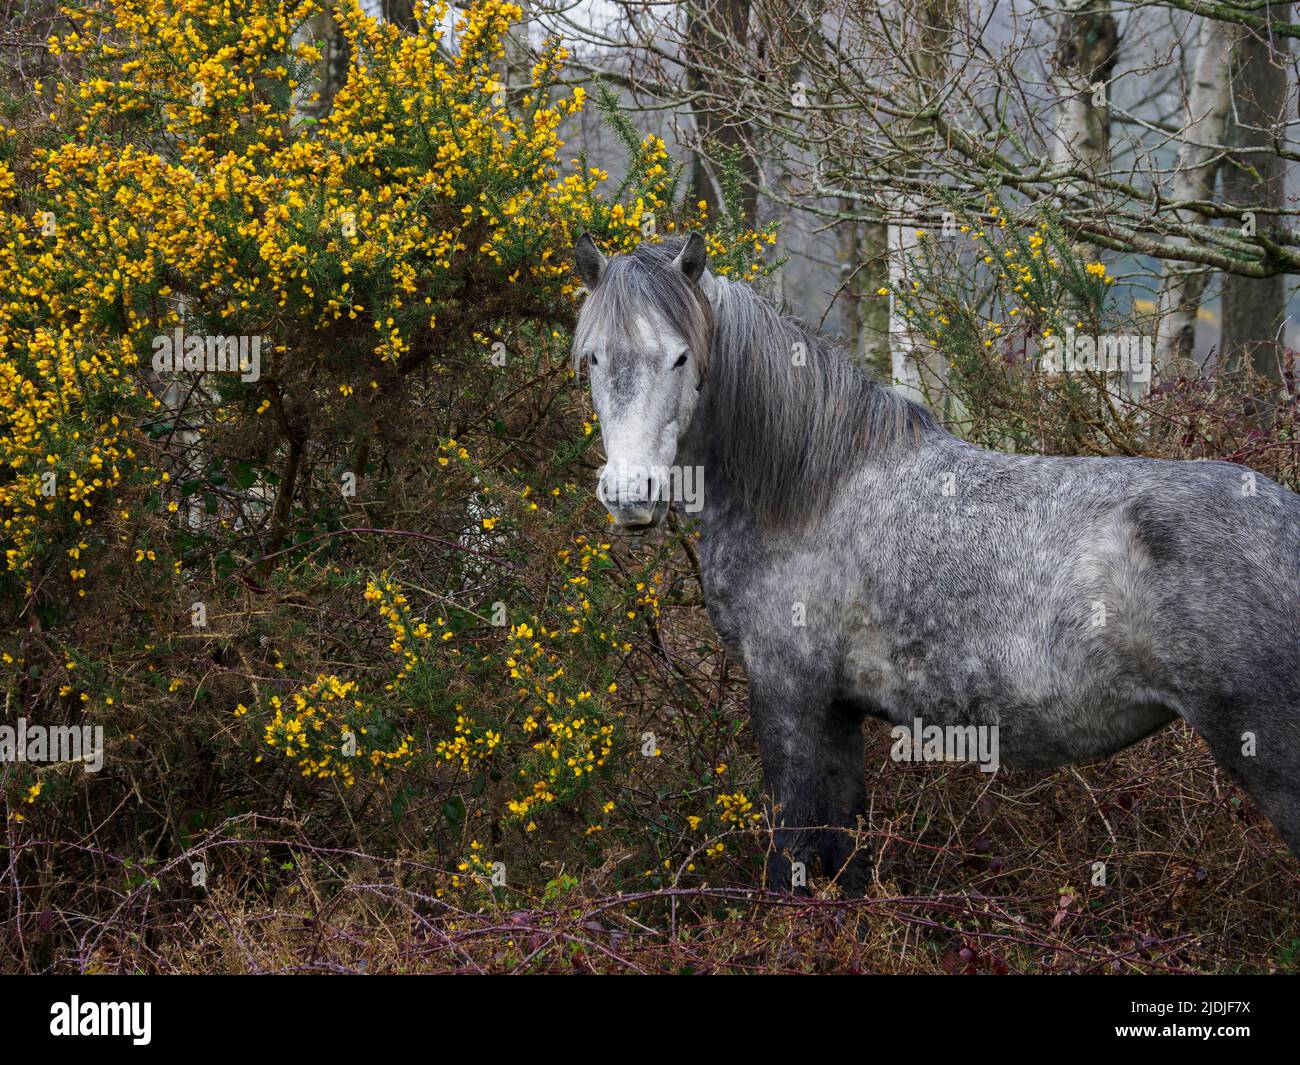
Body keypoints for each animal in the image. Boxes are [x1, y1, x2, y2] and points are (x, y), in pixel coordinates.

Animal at [572, 231, 1300, 894]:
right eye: (593, 358)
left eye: (680, 357)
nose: (630, 495)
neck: (811, 489)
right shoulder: (837, 711)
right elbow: (844, 853)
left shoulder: (788, 694)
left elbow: (792, 855)